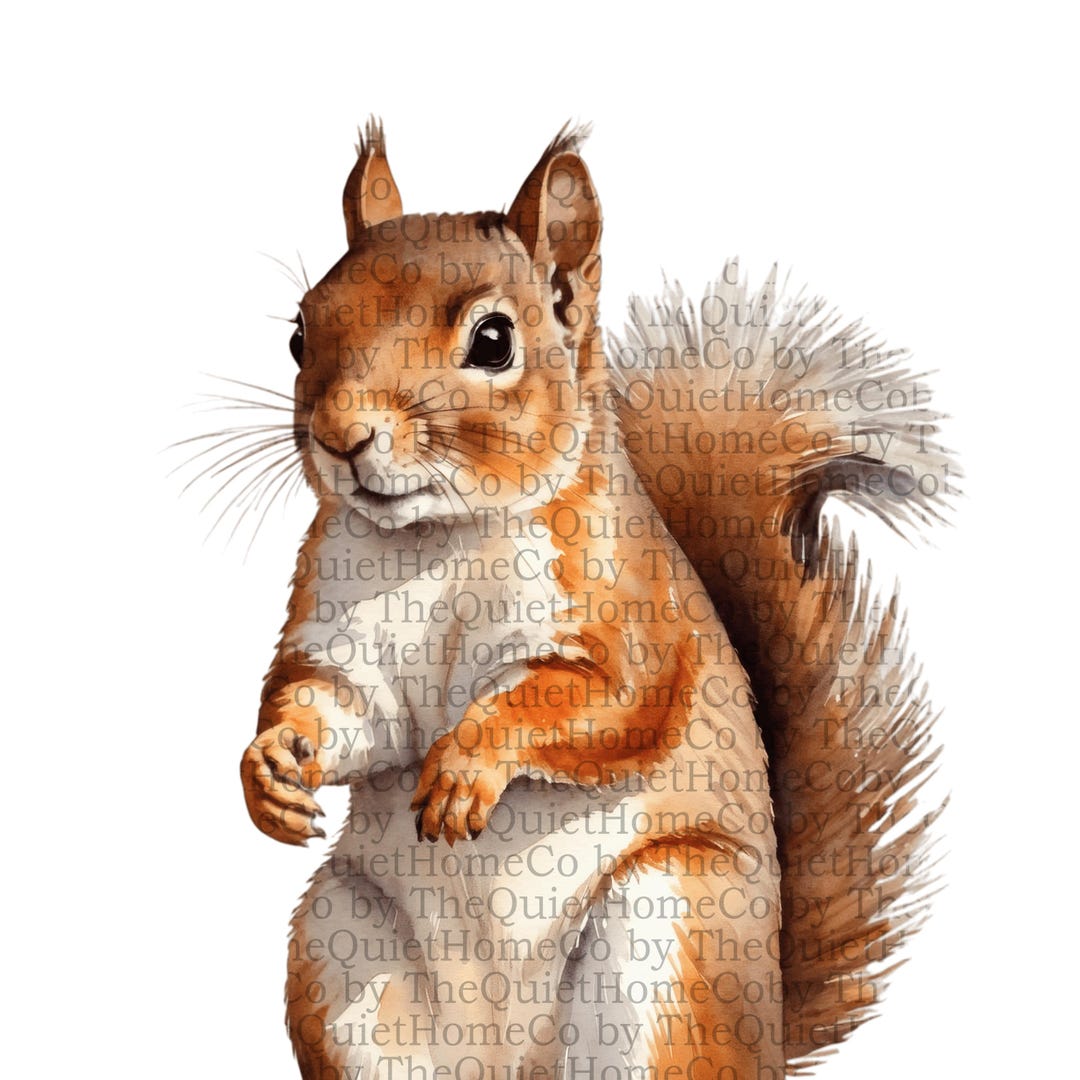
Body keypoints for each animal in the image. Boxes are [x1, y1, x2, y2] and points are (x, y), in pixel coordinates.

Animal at [237, 119, 952, 1080]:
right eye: (299, 332)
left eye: (493, 341)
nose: (341, 436)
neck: (437, 539)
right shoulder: (341, 631)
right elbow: (342, 707)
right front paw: (272, 769)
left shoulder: (633, 611)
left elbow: (600, 701)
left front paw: (467, 763)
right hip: (340, 947)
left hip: (669, 936)